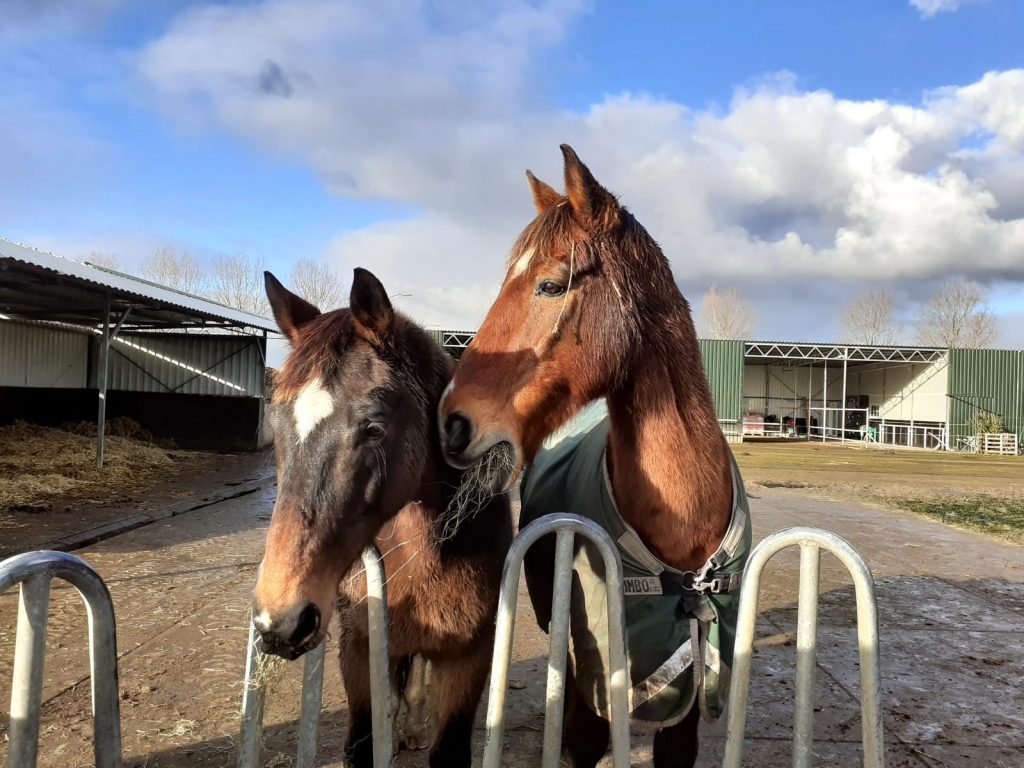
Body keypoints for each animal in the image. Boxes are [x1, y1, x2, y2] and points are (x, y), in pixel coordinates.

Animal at [252, 267, 513, 768]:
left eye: (372, 426)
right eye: (277, 424)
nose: (281, 620)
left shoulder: (469, 656)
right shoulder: (359, 650)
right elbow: (363, 739)